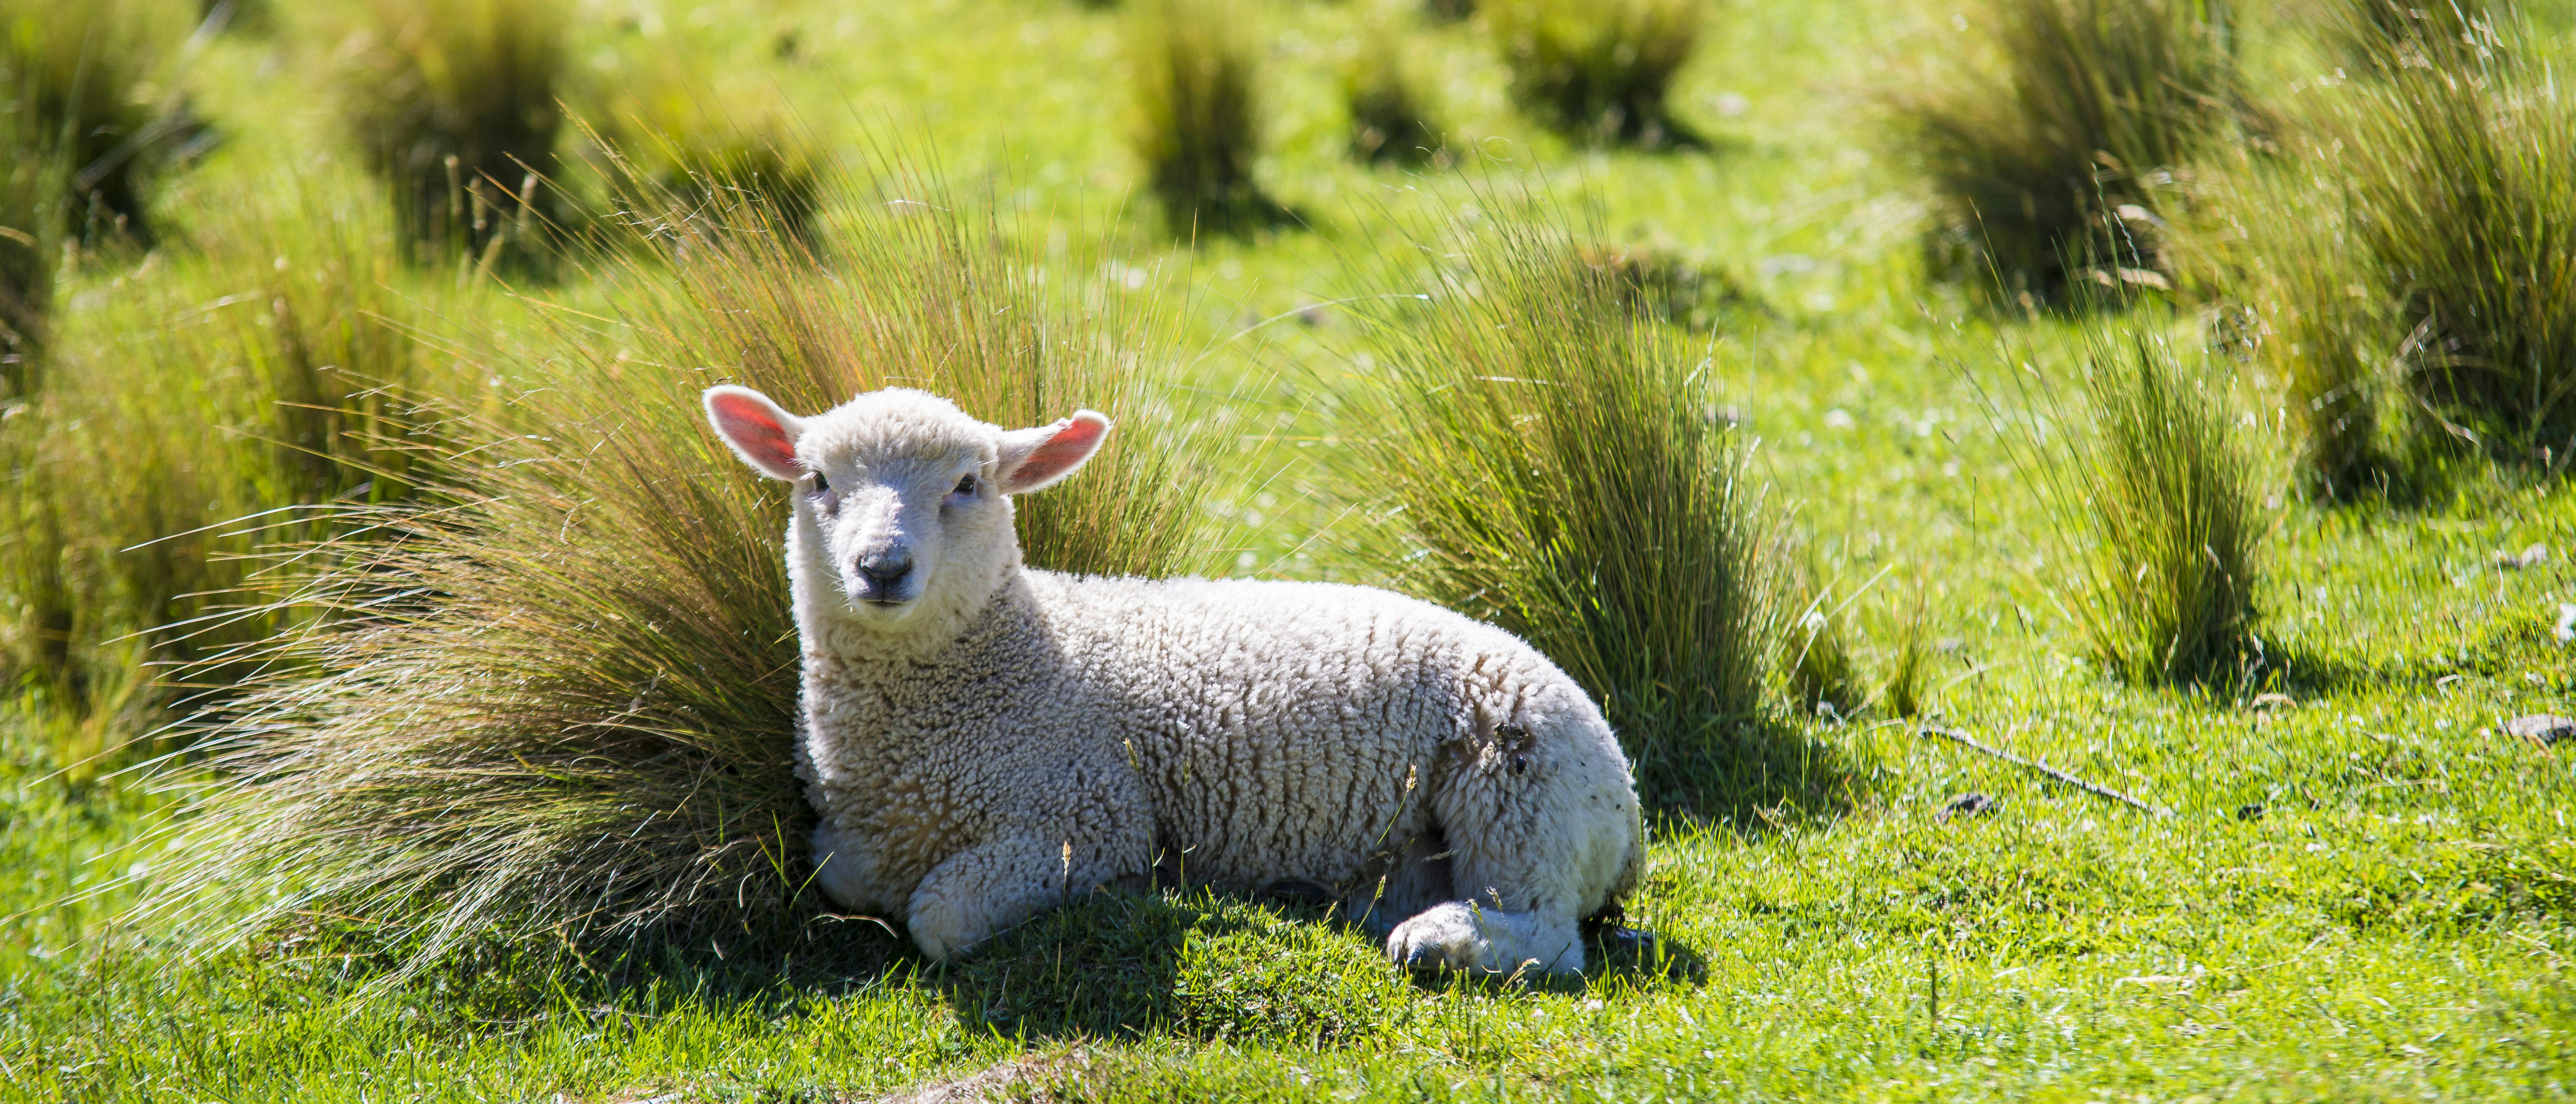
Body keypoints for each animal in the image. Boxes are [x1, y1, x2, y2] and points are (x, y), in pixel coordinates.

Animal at [703, 384, 1644, 975]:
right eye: (818, 481)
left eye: (967, 483)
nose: (882, 567)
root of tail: (1627, 800)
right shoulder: (855, 832)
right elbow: (838, 871)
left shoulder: (1086, 816)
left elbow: (937, 915)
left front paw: (1125, 892)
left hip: (1519, 786)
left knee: (1554, 936)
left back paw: (1438, 940)